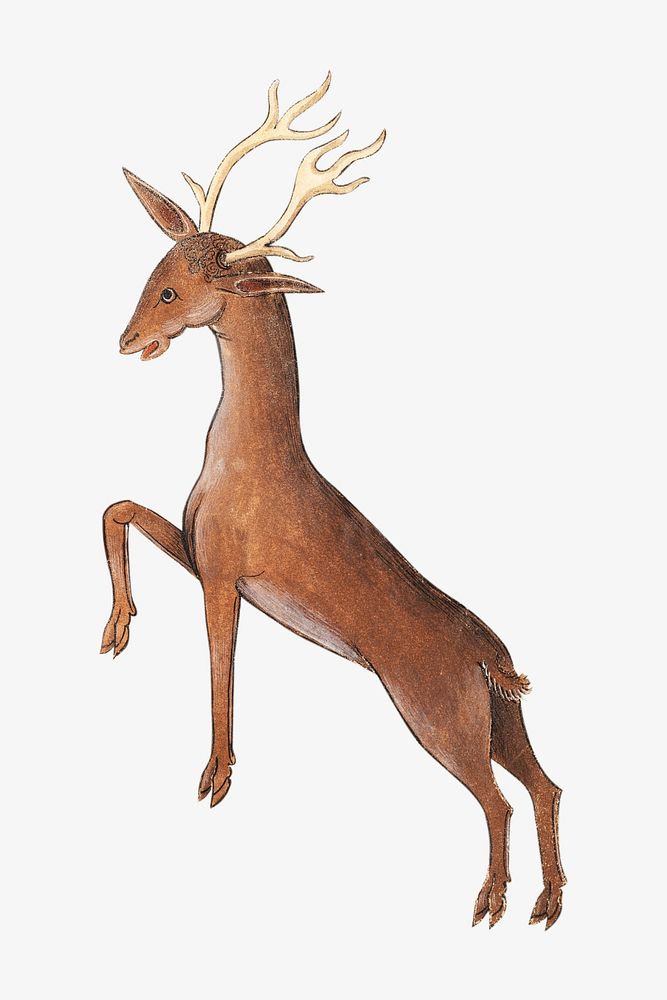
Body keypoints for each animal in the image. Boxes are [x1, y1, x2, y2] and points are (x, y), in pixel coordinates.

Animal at [101, 74, 566, 929]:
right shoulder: (196, 549)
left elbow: (220, 668)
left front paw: (215, 777)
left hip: (437, 716)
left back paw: (489, 901)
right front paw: (116, 629)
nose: (125, 339)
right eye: (153, 270)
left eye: (173, 289)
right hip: (498, 721)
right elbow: (118, 506)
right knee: (545, 785)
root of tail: (493, 660)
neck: (252, 457)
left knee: (498, 801)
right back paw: (546, 904)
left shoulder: (224, 575)